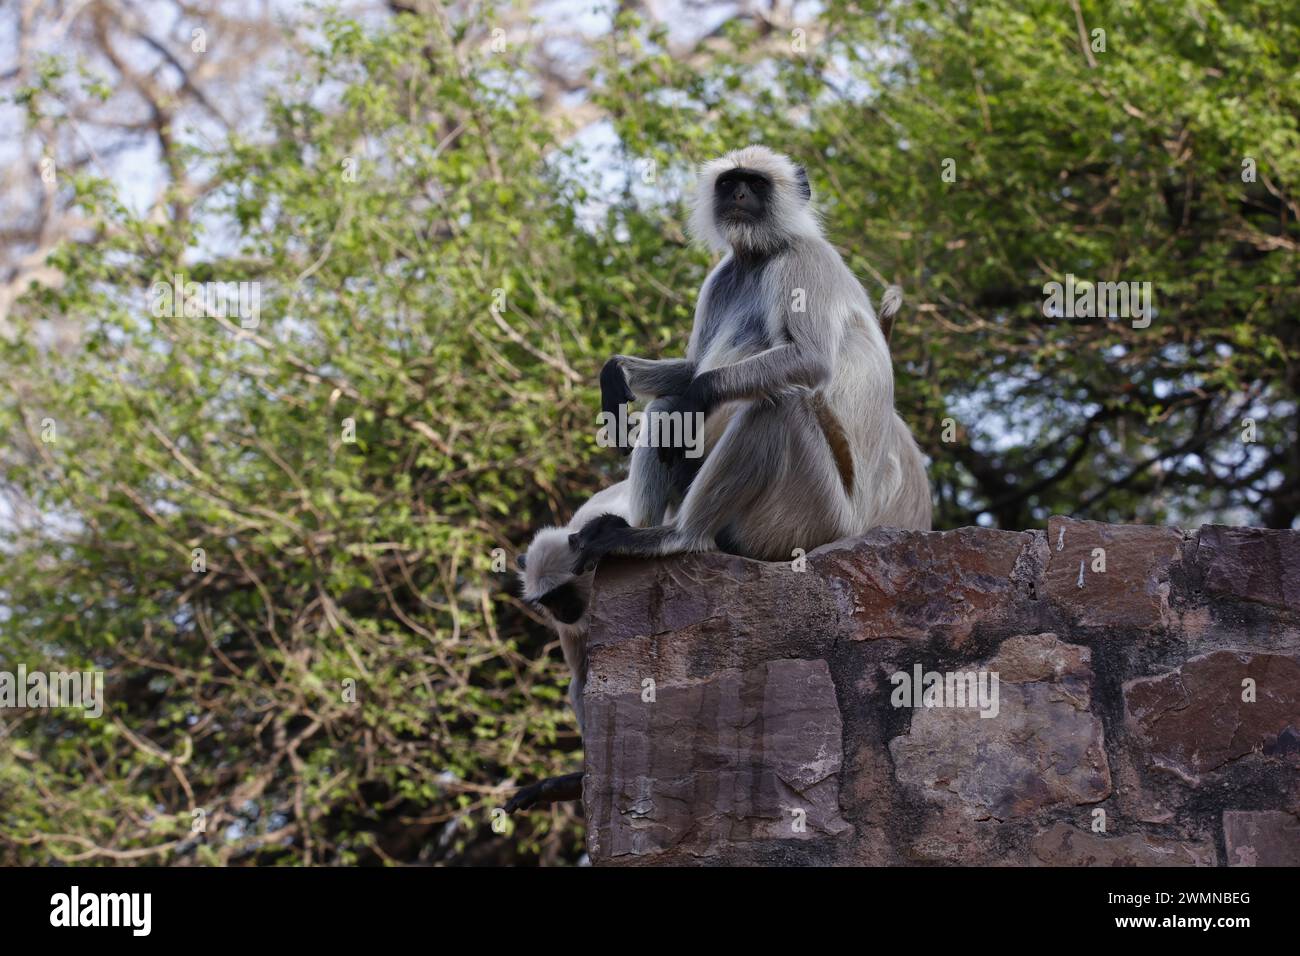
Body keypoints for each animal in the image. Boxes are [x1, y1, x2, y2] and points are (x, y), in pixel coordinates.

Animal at [577, 144, 932, 573]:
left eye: (756, 184)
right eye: (730, 182)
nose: (739, 196)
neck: (760, 256)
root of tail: (852, 529)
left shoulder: (801, 260)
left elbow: (809, 361)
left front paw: (699, 394)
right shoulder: (722, 277)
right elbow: (691, 370)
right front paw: (616, 372)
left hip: (808, 520)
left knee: (777, 405)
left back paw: (676, 536)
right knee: (666, 406)